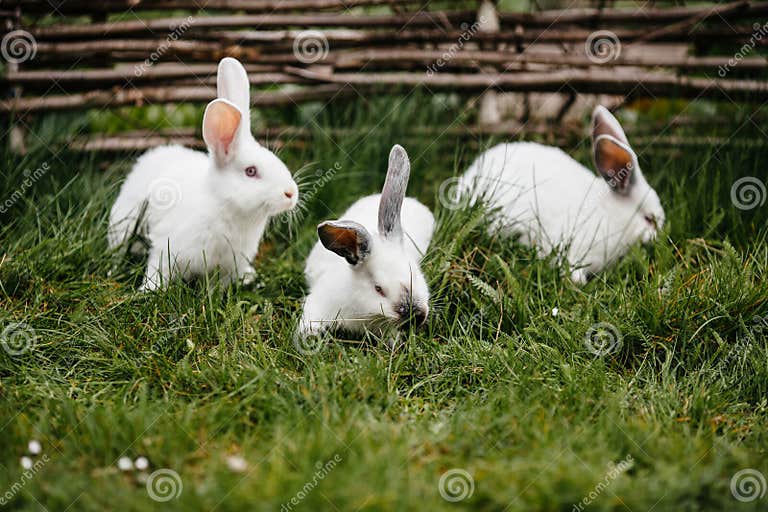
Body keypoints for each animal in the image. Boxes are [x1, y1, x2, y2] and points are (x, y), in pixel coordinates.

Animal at [108, 57, 298, 291]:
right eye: (251, 171)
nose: (291, 193)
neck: (224, 206)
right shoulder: (167, 249)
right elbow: (157, 271)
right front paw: (147, 291)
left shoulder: (229, 265)